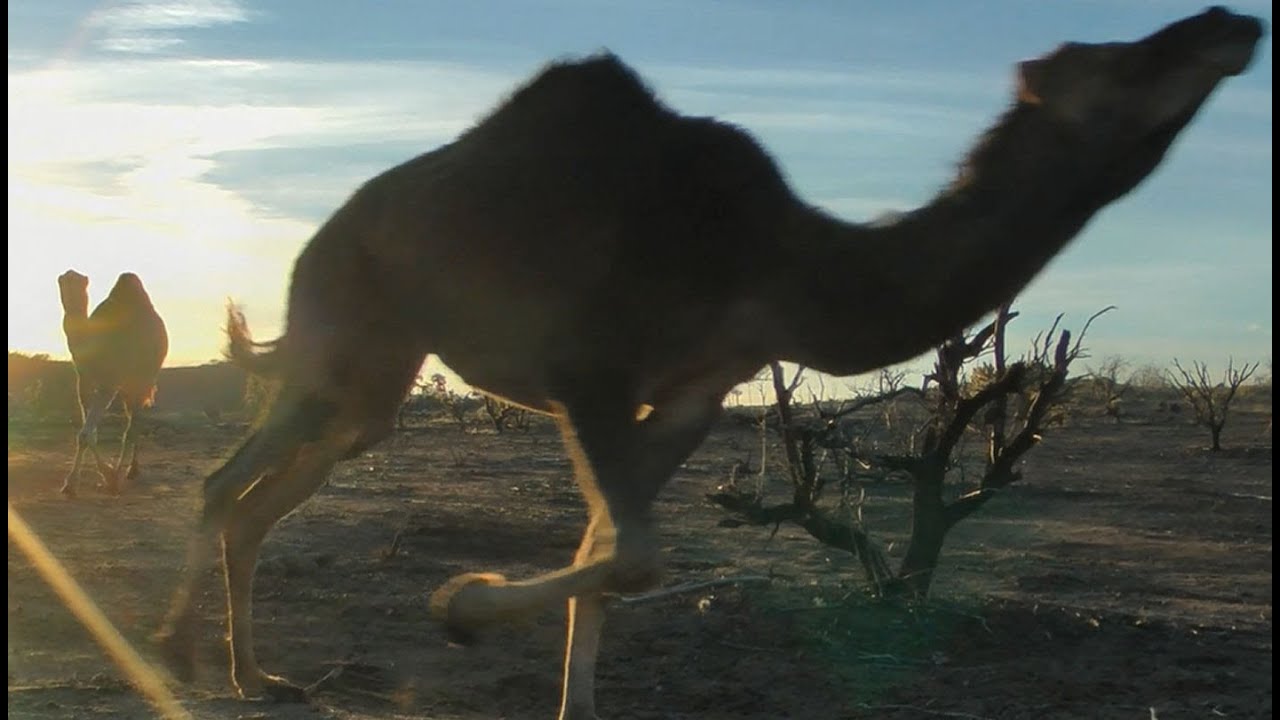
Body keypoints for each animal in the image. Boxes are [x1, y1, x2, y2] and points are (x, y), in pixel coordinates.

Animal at [58, 270, 169, 497]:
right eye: (62, 283)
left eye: (82, 284)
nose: (71, 303)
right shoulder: (84, 383)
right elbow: (89, 433)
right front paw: (76, 481)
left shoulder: (108, 383)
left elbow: (85, 434)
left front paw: (103, 476)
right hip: (127, 388)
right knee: (132, 421)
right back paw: (127, 470)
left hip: (142, 379)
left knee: (133, 426)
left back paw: (124, 473)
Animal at [155, 7, 1263, 719]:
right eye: (1108, 57)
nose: (1227, 21)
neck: (773, 260)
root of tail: (323, 234)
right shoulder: (587, 368)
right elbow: (635, 553)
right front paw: (457, 605)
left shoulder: (693, 391)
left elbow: (610, 554)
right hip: (343, 325)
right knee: (222, 483)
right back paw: (178, 660)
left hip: (378, 381)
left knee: (263, 495)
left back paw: (250, 677)